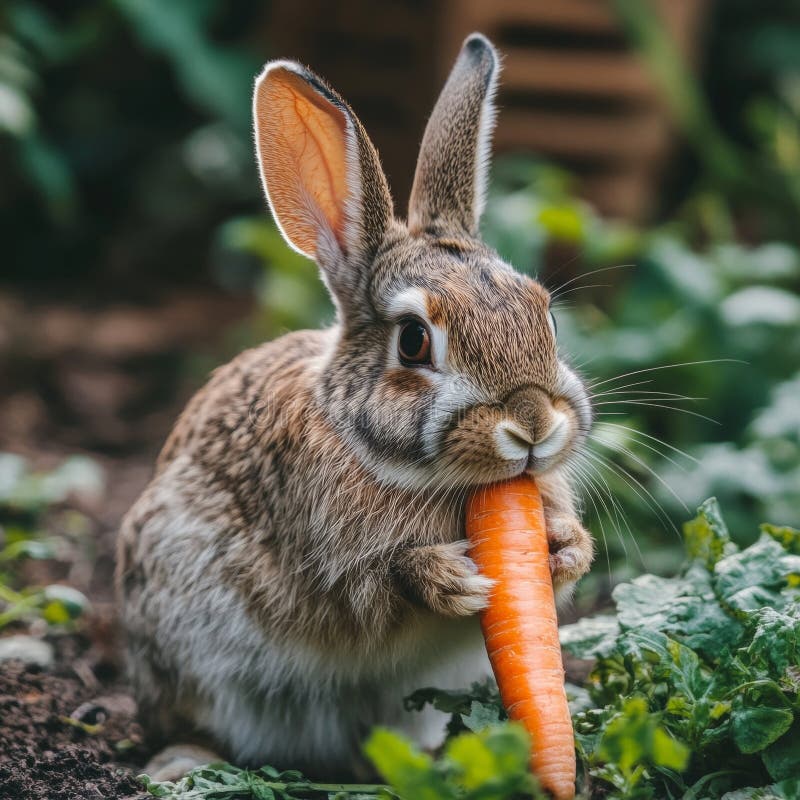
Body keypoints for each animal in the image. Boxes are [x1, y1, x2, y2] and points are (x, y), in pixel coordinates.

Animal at [116, 32, 594, 781]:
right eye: (414, 341)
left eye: (542, 312)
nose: (533, 426)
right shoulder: (328, 554)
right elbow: (373, 588)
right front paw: (452, 579)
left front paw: (565, 549)